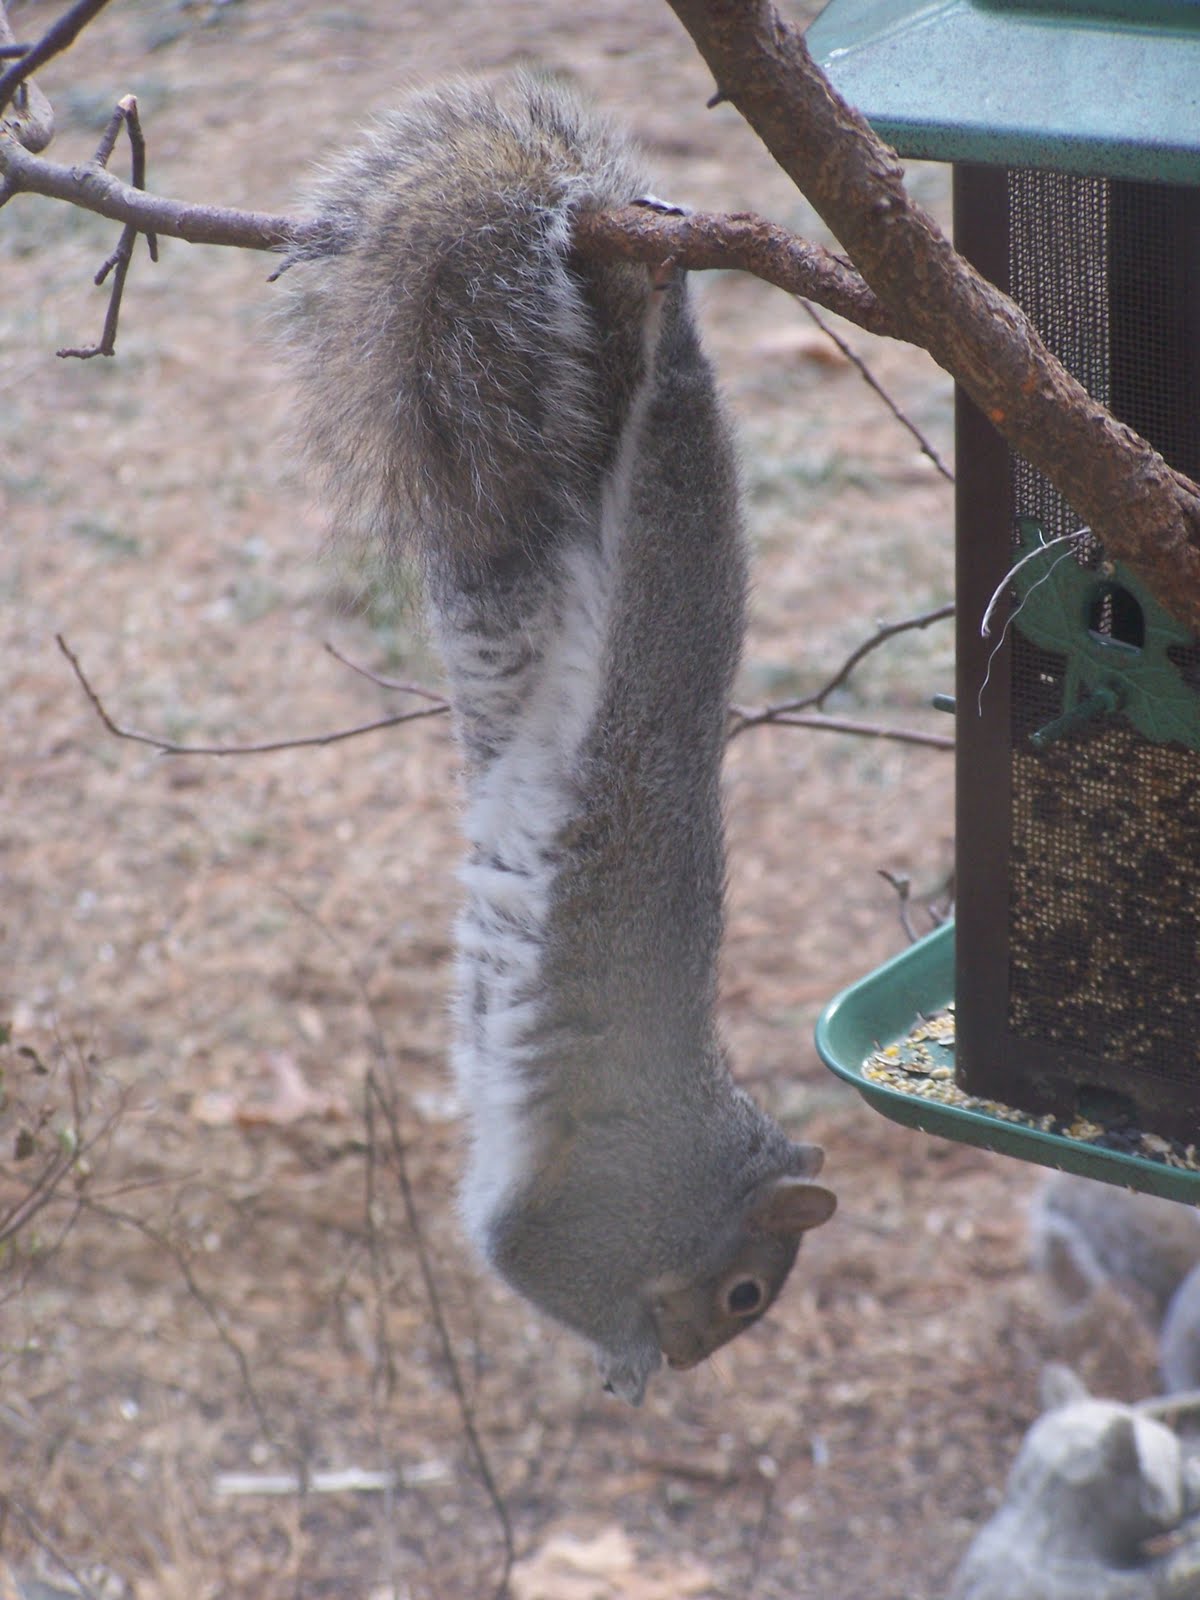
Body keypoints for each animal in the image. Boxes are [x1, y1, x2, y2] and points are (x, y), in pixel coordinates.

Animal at [282, 73, 836, 1403]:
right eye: (747, 1295)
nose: (691, 1361)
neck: (703, 1175)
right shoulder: (598, 1200)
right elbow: (522, 1251)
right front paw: (625, 1354)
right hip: (669, 583)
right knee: (681, 447)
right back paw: (671, 306)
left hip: (501, 614)